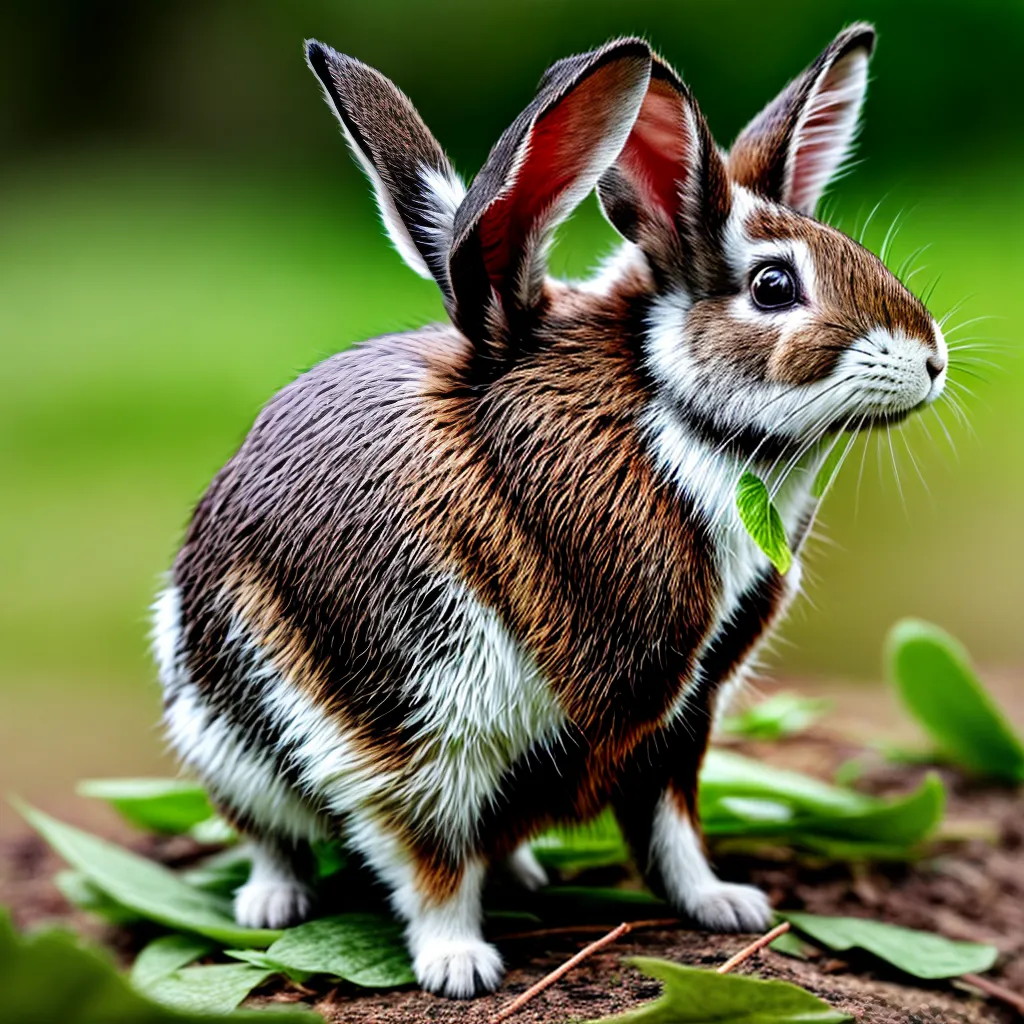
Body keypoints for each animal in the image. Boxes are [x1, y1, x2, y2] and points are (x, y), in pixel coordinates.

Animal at [153, 24, 947, 998]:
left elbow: (671, 831)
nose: (932, 359)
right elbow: (428, 861)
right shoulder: (414, 733)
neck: (673, 413)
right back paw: (275, 904)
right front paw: (457, 964)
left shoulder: (679, 721)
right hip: (237, 743)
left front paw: (725, 906)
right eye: (772, 286)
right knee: (279, 835)